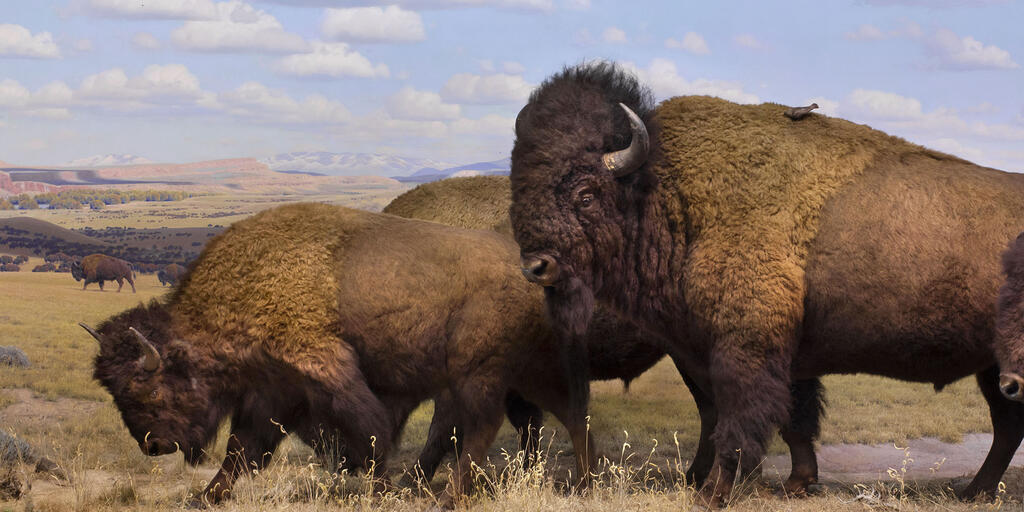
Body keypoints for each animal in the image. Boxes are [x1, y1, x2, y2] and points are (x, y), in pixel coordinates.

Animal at [86, 203, 595, 506]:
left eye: (149, 389)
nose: (153, 445)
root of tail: (533, 272)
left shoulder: (324, 370)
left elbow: (371, 433)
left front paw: (381, 491)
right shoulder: (270, 393)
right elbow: (241, 449)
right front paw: (207, 496)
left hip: (480, 375)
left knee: (485, 428)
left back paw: (453, 496)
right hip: (523, 377)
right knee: (563, 416)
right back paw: (583, 484)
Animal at [508, 63, 1024, 505]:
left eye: (586, 194)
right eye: (520, 183)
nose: (536, 266)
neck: (666, 189)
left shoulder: (745, 350)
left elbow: (738, 427)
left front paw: (712, 494)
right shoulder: (770, 357)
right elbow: (792, 420)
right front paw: (798, 483)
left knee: (1007, 426)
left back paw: (974, 491)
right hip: (993, 368)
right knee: (1007, 426)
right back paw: (975, 491)